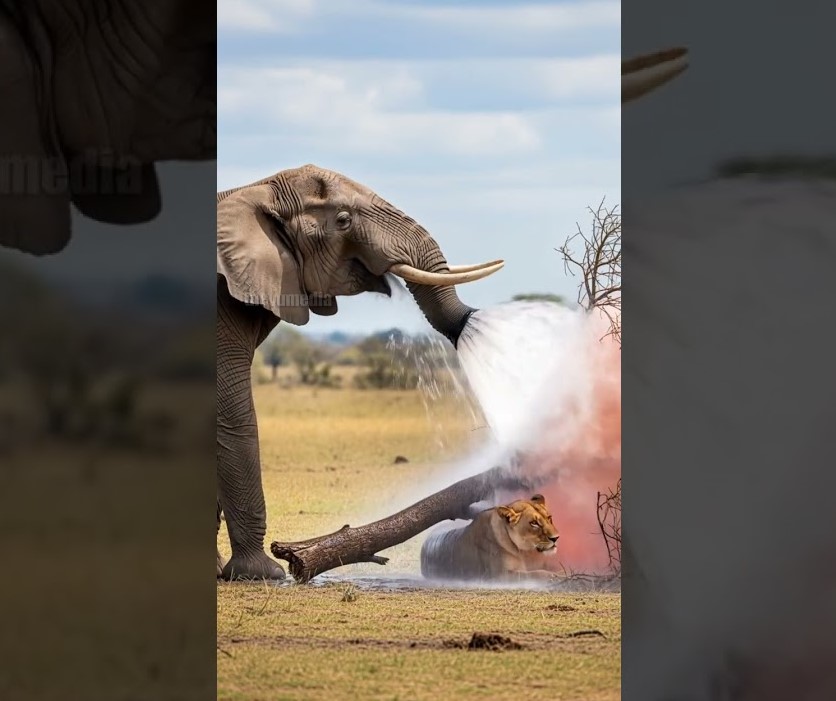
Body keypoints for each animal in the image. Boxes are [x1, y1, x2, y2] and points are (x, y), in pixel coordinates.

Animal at [420, 494, 560, 583]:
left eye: (549, 518)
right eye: (534, 523)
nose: (556, 538)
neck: (525, 552)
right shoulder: (498, 575)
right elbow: (535, 574)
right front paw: (556, 576)